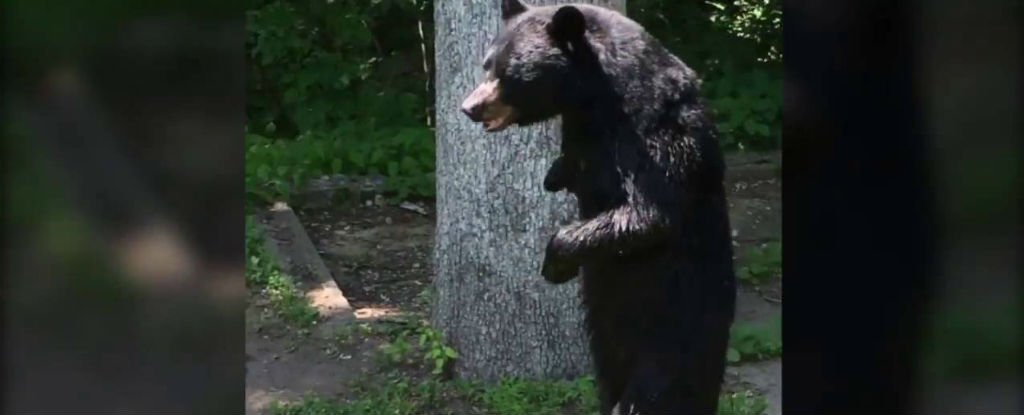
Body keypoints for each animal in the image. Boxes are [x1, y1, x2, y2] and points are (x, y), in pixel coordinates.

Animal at [460, 1, 737, 414]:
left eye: (510, 73)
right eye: (487, 64)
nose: (469, 107)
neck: (595, 98)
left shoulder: (651, 129)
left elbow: (651, 212)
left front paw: (554, 263)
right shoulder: (581, 129)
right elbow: (572, 170)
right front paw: (557, 175)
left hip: (677, 322)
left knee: (657, 391)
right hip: (606, 338)